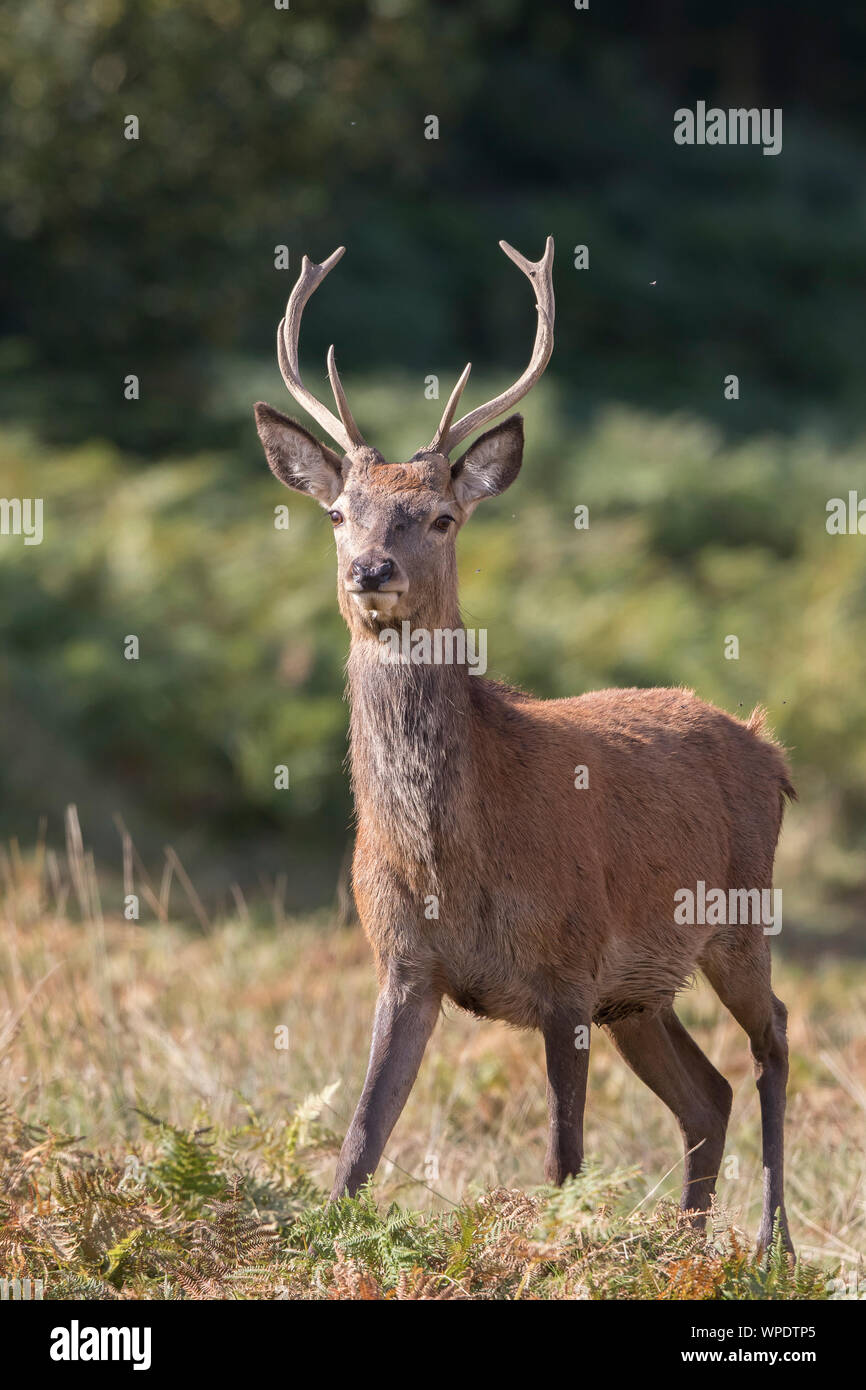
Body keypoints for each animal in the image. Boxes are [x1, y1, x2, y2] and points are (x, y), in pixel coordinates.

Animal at [253, 236, 796, 1255]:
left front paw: (560, 1253)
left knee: (773, 1037)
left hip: (737, 918)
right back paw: (686, 1247)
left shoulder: (570, 969)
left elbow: (563, 1157)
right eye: (339, 513)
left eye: (441, 516)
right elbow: (360, 1141)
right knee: (706, 1094)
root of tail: (771, 752)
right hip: (644, 990)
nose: (370, 572)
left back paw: (771, 1245)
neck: (449, 856)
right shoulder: (403, 961)